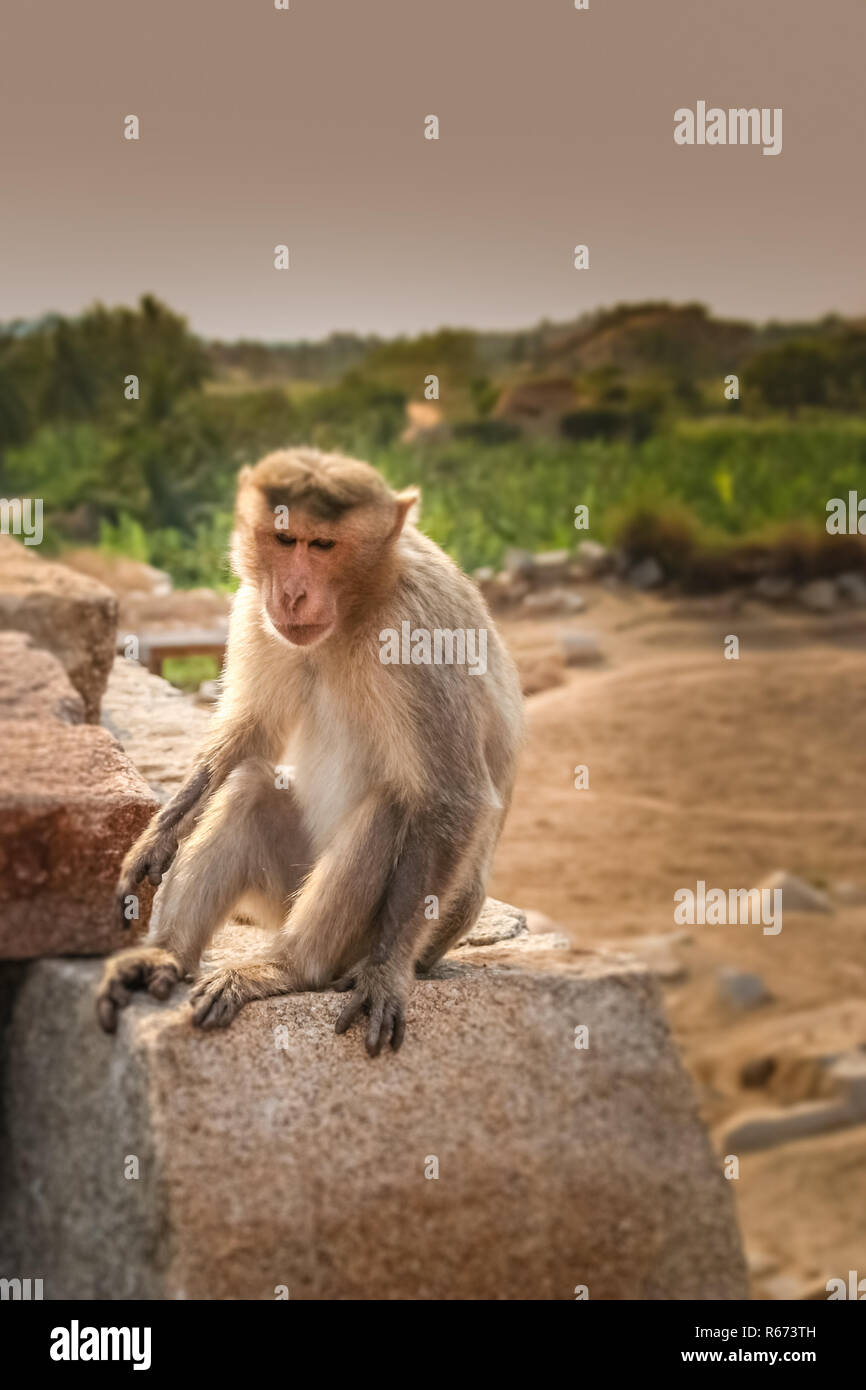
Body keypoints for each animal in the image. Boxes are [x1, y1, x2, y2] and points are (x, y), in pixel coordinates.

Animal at [96, 447, 523, 1055]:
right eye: (283, 538)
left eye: (321, 545)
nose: (292, 593)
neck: (358, 605)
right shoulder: (254, 609)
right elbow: (249, 732)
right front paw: (157, 839)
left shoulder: (418, 630)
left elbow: (452, 797)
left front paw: (385, 976)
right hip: (280, 894)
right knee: (250, 786)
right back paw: (168, 954)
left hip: (411, 931)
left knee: (392, 808)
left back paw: (292, 968)